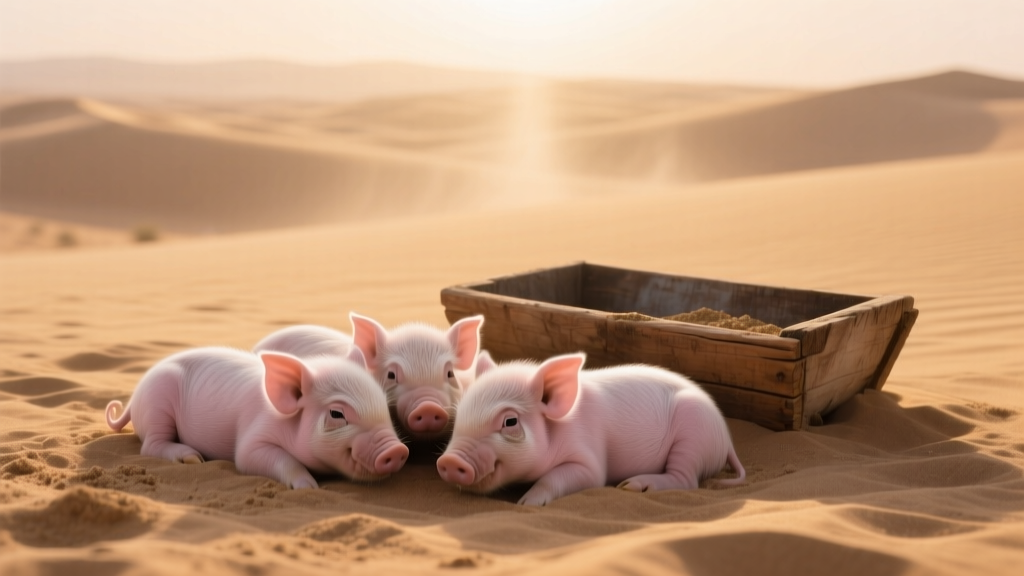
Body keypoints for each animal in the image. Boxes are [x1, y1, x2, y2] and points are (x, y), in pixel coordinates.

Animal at [104, 346, 408, 489]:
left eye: (383, 404)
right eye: (337, 414)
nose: (397, 450)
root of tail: (135, 395)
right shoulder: (254, 437)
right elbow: (256, 458)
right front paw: (308, 487)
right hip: (157, 403)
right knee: (150, 445)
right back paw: (192, 458)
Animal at [436, 353, 745, 505]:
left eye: (510, 422)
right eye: (460, 414)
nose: (449, 461)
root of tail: (726, 439)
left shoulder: (589, 456)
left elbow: (561, 477)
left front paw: (527, 503)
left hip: (694, 434)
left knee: (687, 479)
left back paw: (632, 486)